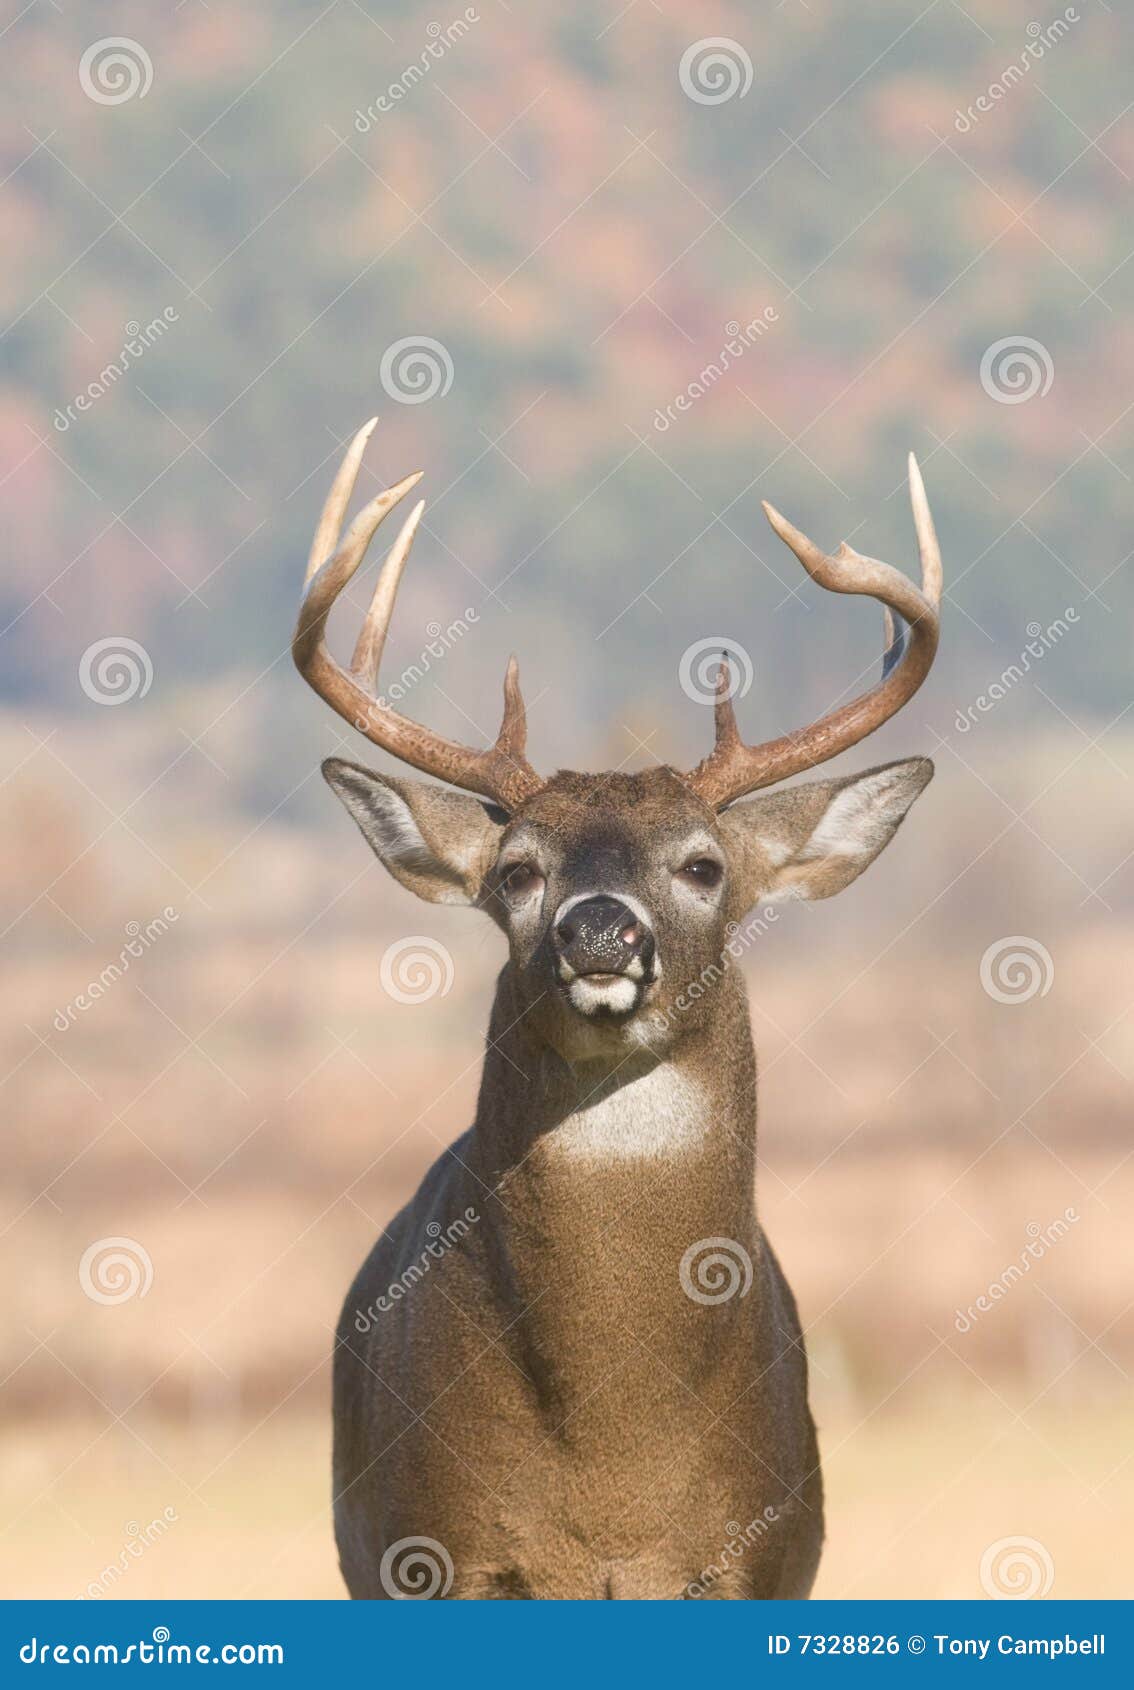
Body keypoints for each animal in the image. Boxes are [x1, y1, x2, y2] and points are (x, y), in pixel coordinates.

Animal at [293, 418, 942, 1600]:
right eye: (515, 870)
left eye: (703, 865)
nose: (599, 932)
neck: (613, 1464)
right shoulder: (435, 1552)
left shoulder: (757, 1561)